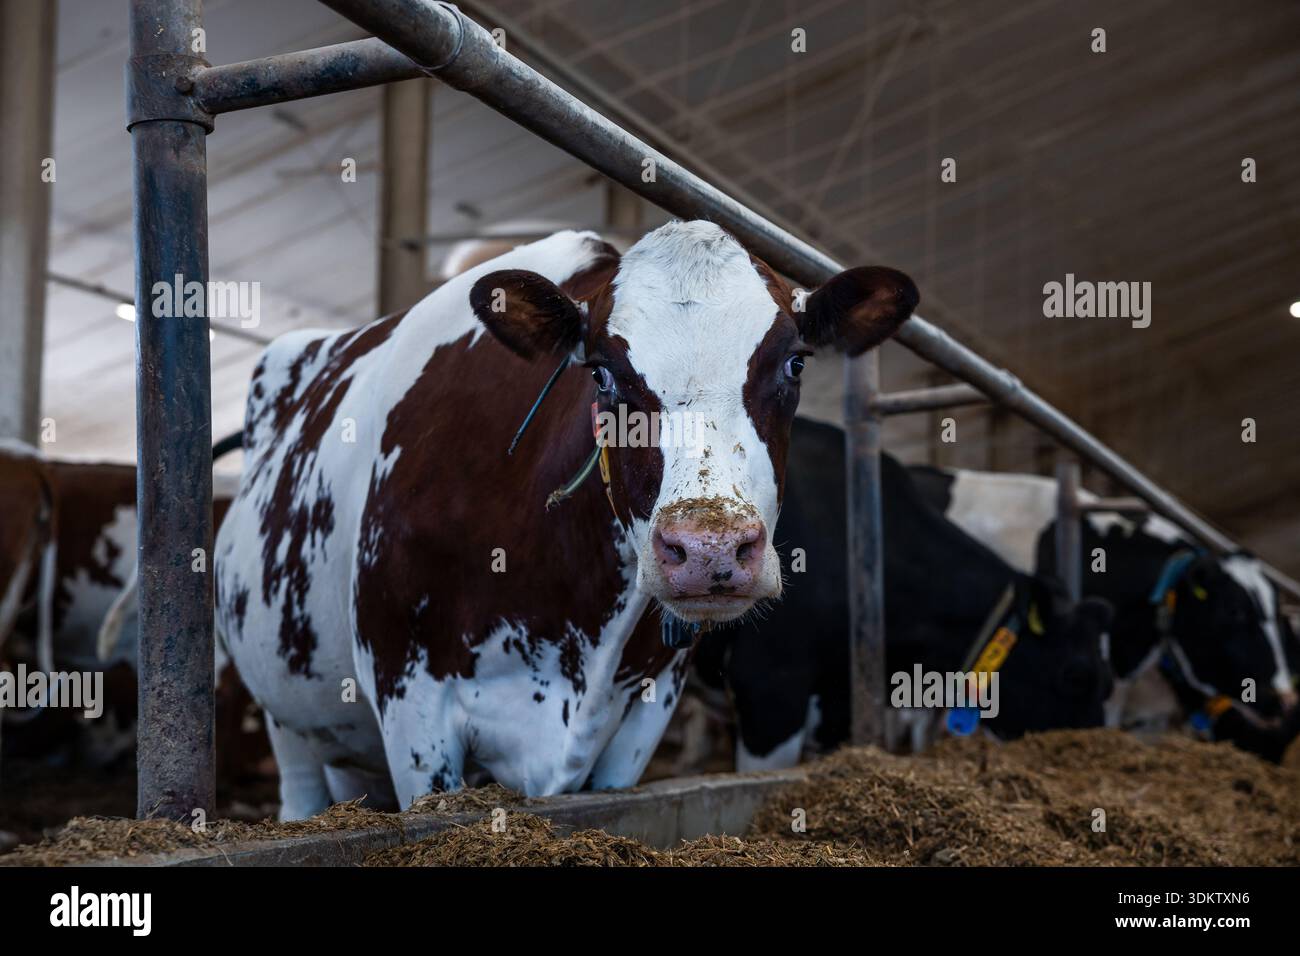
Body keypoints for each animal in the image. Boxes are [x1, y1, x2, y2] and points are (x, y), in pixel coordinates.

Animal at [213, 221, 918, 818]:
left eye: (795, 363)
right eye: (602, 374)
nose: (710, 550)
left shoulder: (643, 713)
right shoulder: (409, 696)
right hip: (286, 712)